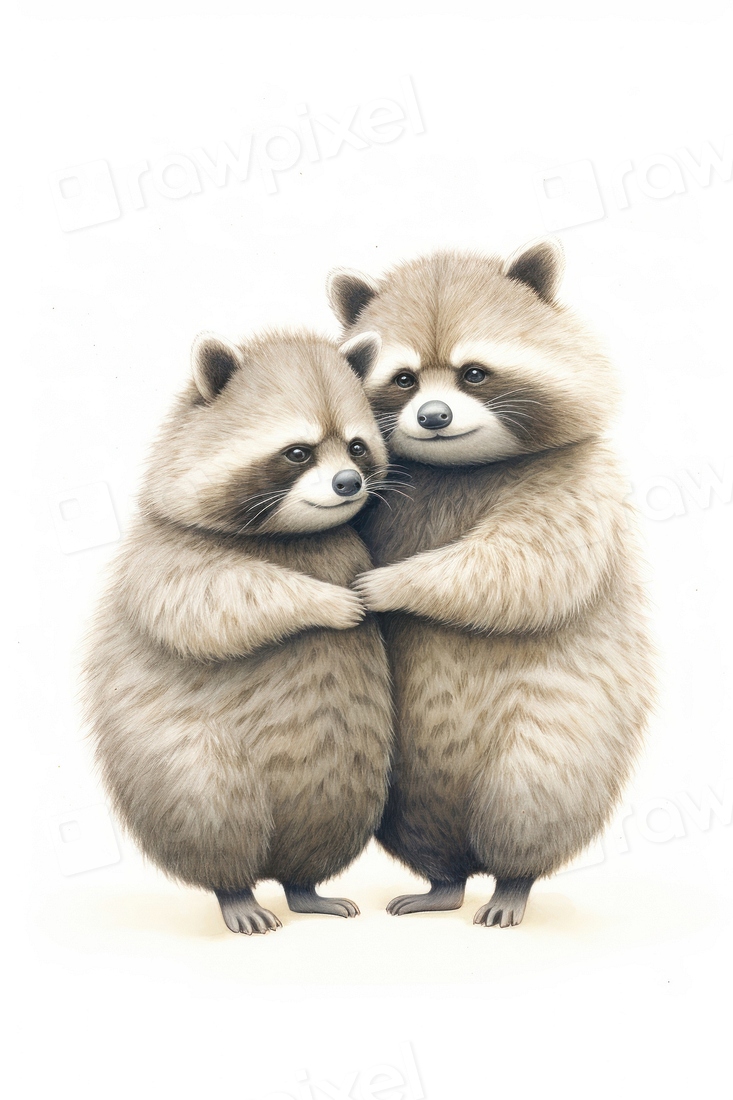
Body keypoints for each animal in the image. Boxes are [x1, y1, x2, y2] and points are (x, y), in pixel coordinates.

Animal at [83, 329, 392, 934]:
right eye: (298, 451)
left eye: (357, 447)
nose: (349, 483)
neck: (295, 536)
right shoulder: (164, 554)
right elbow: (211, 606)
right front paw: (323, 601)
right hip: (175, 759)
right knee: (209, 806)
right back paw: (235, 891)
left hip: (350, 772)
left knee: (328, 818)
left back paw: (305, 887)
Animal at [327, 241, 656, 927]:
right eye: (404, 379)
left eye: (472, 372)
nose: (434, 416)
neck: (454, 464)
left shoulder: (573, 482)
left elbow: (526, 567)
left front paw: (395, 584)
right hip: (406, 767)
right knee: (416, 821)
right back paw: (442, 881)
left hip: (563, 726)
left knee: (532, 797)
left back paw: (512, 882)